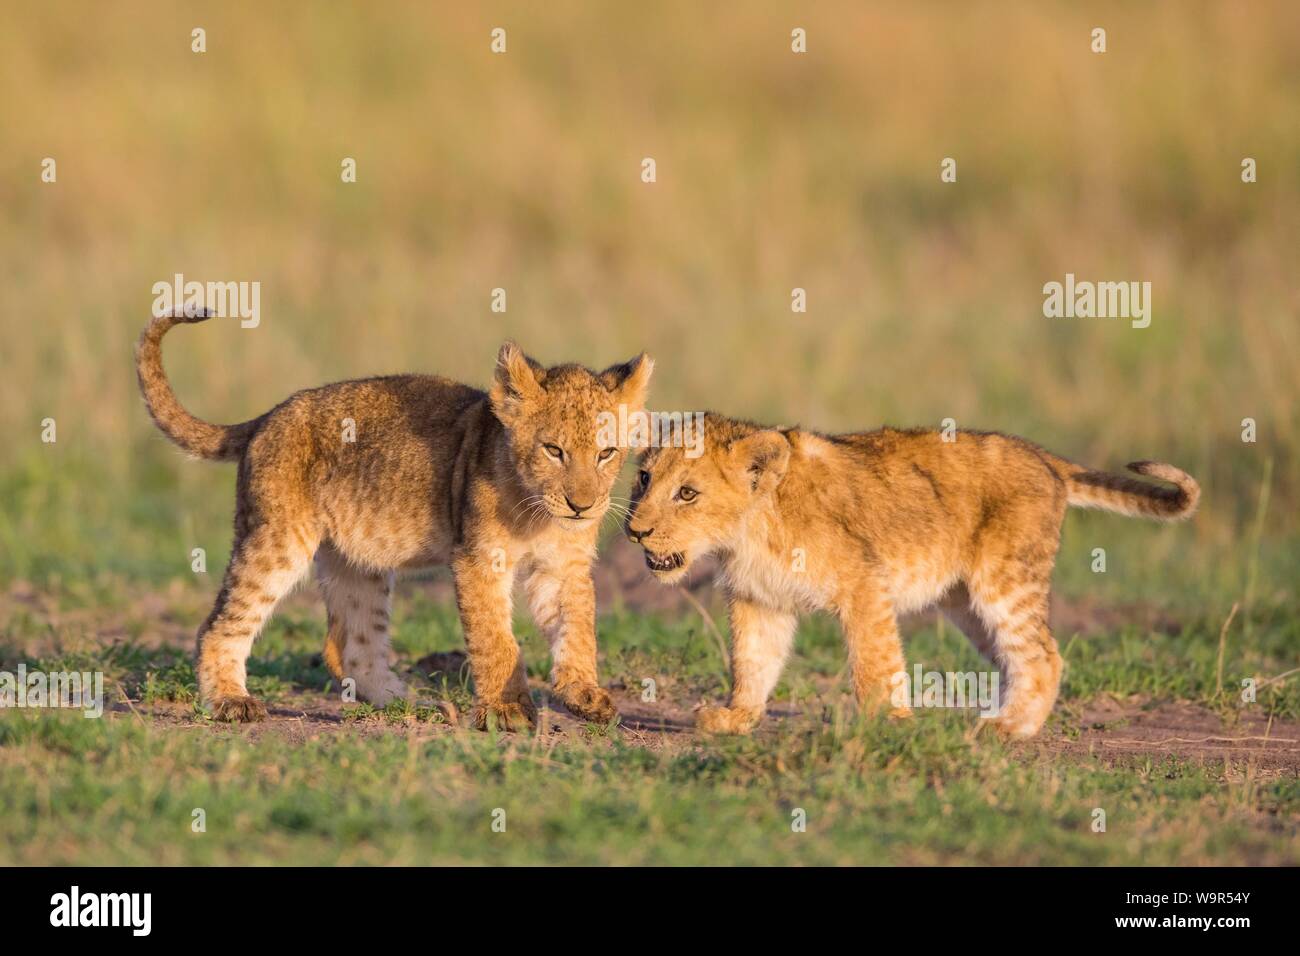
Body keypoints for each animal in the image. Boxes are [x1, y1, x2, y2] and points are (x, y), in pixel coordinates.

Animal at [137, 308, 652, 728]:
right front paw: (506, 711)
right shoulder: (479, 559)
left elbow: (578, 628)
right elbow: (495, 638)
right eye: (554, 450)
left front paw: (585, 696)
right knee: (221, 624)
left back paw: (411, 706)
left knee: (352, 645)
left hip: (356, 562)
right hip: (277, 540)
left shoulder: (563, 566)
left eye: (606, 453)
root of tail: (267, 418)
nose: (582, 505)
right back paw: (230, 702)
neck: (540, 515)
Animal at [625, 414, 1198, 739]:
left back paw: (1009, 729)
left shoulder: (864, 583)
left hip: (1004, 581)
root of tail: (1043, 456)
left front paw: (889, 727)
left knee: (1044, 654)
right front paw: (736, 719)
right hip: (966, 603)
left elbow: (874, 665)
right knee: (1019, 657)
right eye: (645, 478)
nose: (635, 531)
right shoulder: (760, 600)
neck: (748, 528)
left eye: (687, 493)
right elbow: (752, 664)